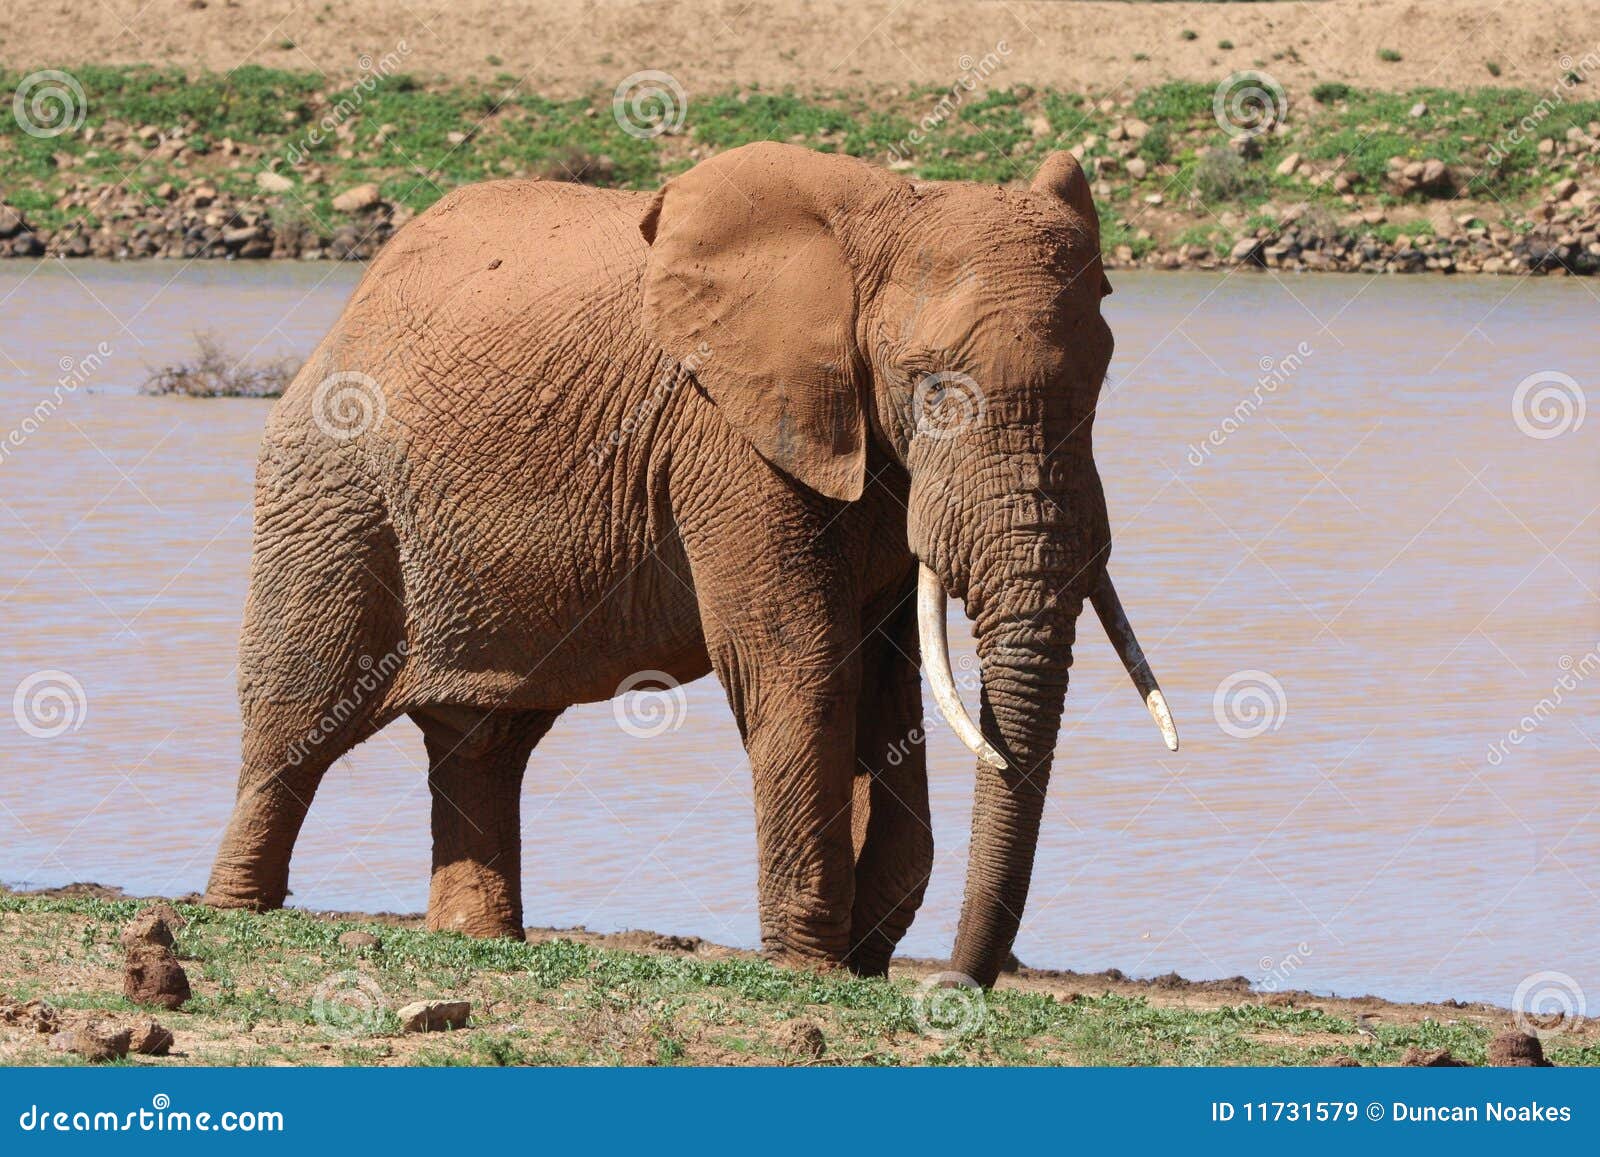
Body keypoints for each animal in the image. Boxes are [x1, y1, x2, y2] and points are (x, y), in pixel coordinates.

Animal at [203, 141, 1175, 987]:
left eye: (1102, 379)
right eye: (930, 386)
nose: (959, 982)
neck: (877, 223)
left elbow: (888, 680)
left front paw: (857, 957)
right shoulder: (726, 432)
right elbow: (802, 662)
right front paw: (810, 966)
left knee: (483, 738)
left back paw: (480, 939)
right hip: (333, 490)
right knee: (297, 717)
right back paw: (235, 910)